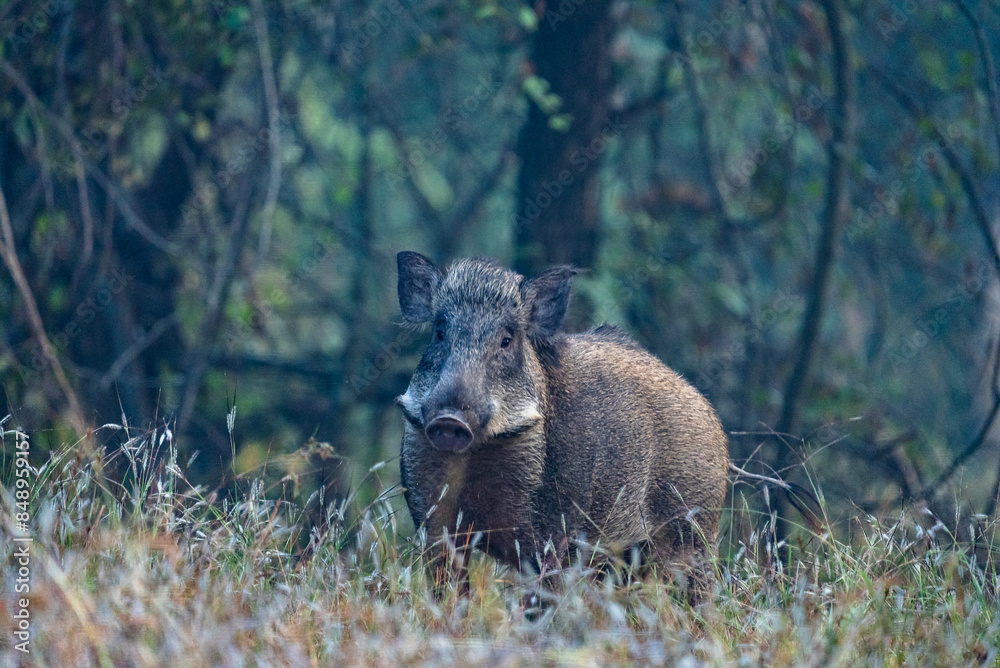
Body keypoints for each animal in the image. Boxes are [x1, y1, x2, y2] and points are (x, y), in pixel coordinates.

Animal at [395, 251, 729, 601]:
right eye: (439, 332)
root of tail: (708, 411)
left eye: (506, 340)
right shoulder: (433, 526)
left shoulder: (553, 539)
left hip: (693, 532)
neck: (475, 457)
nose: (450, 420)